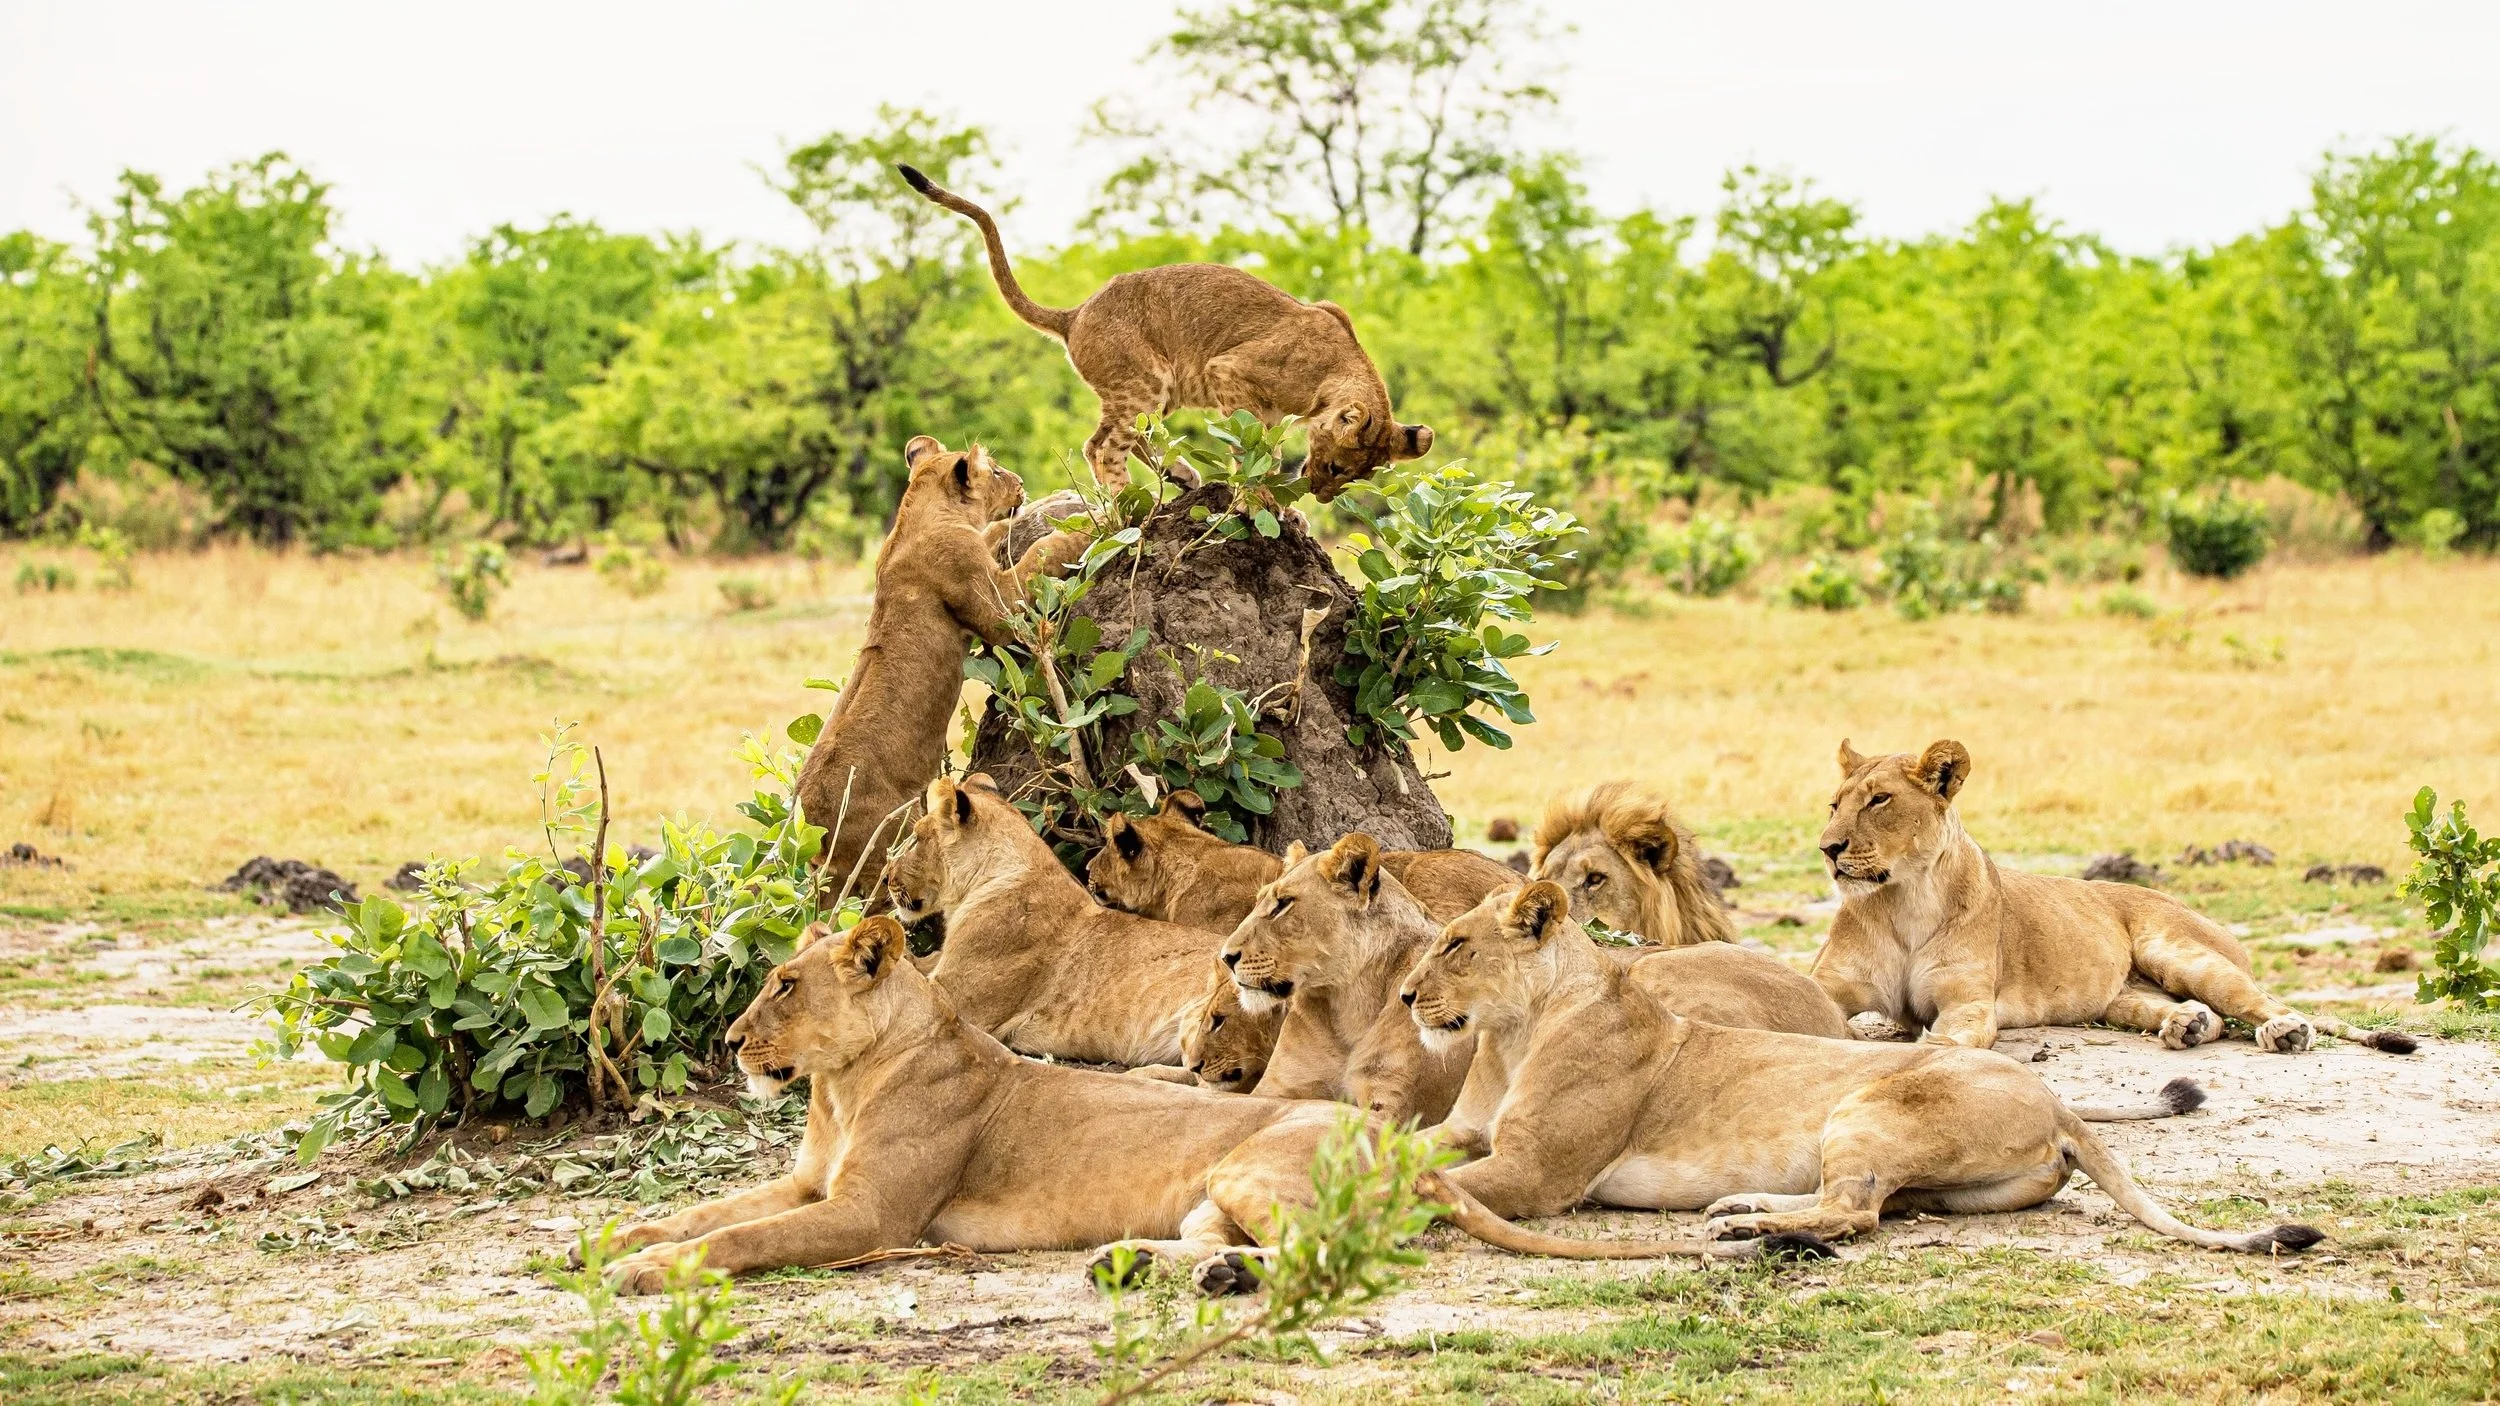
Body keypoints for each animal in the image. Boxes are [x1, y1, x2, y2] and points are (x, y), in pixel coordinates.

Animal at [594, 915, 1816, 1295]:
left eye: (785, 987)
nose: (732, 1044)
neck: (843, 1086)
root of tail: (1396, 1147)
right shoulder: (809, 1177)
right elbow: (708, 1210)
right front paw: (615, 1240)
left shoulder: (868, 1215)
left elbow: (741, 1240)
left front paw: (648, 1273)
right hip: (1212, 1194)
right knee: (1225, 1243)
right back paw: (1138, 1264)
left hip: (1252, 1162)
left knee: (1338, 1252)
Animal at [795, 437, 1085, 898]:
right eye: (997, 471)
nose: (1021, 482)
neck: (920, 512)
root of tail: (811, 824)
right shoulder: (997, 608)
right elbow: (1038, 558)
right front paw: (1081, 528)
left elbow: (995, 533)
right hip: (887, 843)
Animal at [897, 165, 1433, 499]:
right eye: (1339, 469)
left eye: (1351, 480)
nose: (1321, 498)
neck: (1338, 369)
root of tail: (1076, 313)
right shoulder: (1228, 369)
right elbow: (1256, 447)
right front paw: (1265, 500)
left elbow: (1265, 445)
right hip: (1146, 379)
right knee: (1103, 446)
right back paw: (1125, 506)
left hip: (1158, 389)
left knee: (1119, 437)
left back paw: (1179, 475)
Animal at [1397, 883, 2326, 1254]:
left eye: (1456, 946)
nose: (1404, 996)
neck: (1510, 1034)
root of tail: (2058, 1101)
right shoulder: (1467, 1130)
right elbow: (1401, 1145)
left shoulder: (1539, 1173)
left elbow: (1427, 1178)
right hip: (1941, 1185)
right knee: (1875, 1203)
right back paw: (1744, 1208)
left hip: (1866, 1106)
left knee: (1855, 1213)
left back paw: (1748, 1232)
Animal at [1811, 740, 2417, 1055]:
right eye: (1834, 805)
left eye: (1879, 801)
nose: (1827, 848)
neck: (1903, 900)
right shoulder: (1830, 984)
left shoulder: (1967, 1000)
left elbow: (1950, 1038)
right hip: (2122, 997)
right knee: (2195, 1014)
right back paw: (2188, 1026)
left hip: (2178, 951)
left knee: (2258, 1001)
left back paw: (2285, 1031)